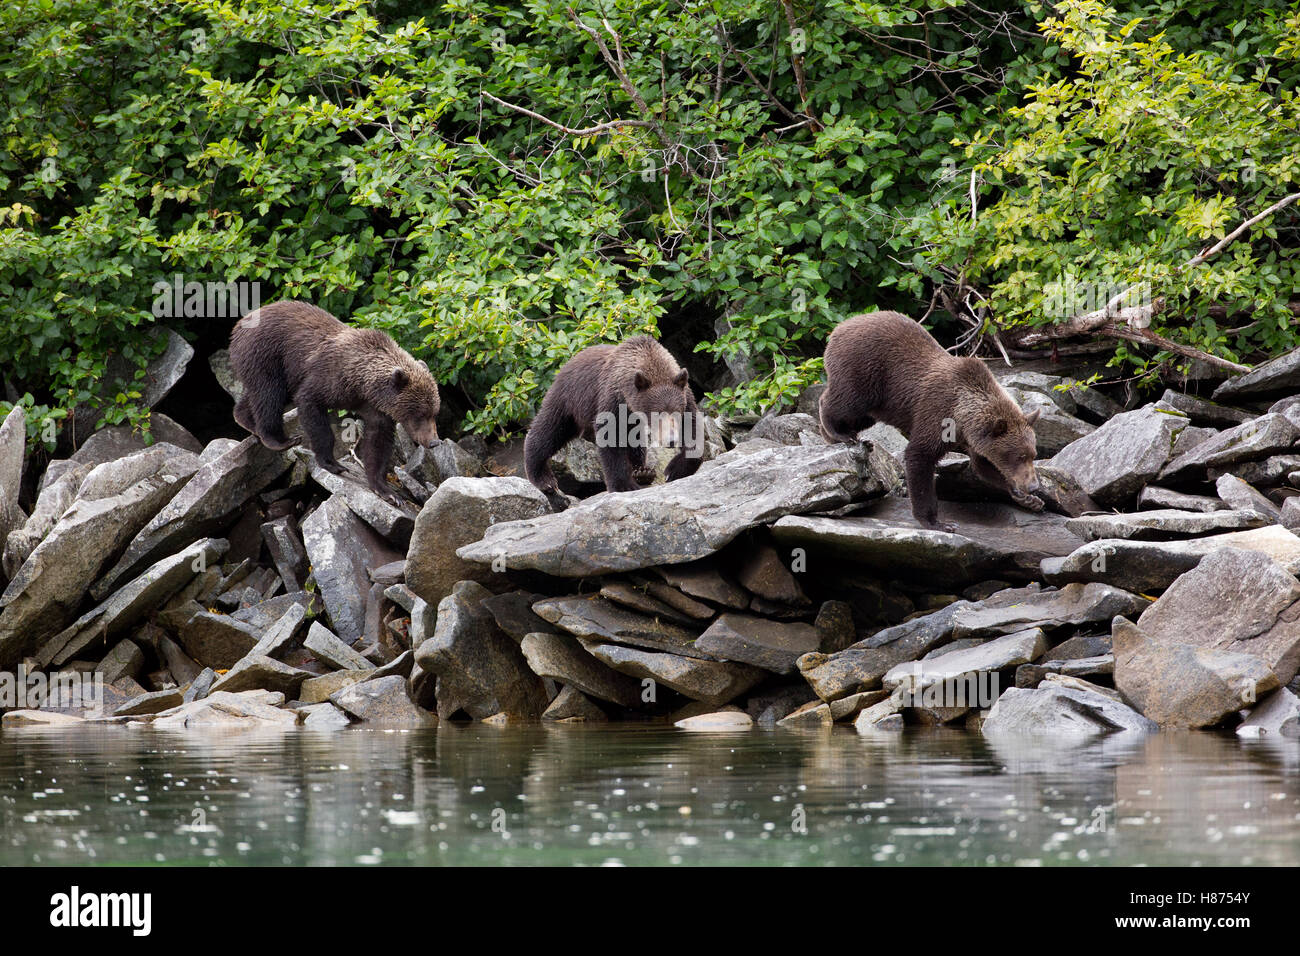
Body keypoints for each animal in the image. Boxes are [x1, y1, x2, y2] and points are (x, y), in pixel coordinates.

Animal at [229, 299, 440, 505]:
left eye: (434, 413)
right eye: (419, 414)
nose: (434, 442)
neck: (363, 385)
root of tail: (242, 322)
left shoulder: (376, 409)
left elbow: (378, 442)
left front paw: (386, 491)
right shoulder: (331, 379)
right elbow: (311, 406)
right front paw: (332, 463)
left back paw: (246, 420)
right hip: (267, 354)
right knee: (269, 394)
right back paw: (278, 439)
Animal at [524, 335, 703, 510]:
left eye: (676, 412)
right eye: (656, 413)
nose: (671, 440)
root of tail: (567, 363)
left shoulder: (686, 397)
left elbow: (693, 430)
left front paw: (674, 470)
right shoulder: (613, 399)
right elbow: (610, 436)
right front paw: (623, 485)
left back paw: (643, 471)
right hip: (569, 400)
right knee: (548, 430)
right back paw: (544, 479)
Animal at [818, 310, 1042, 530]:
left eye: (1033, 454)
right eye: (1020, 456)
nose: (1033, 486)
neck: (963, 417)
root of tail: (840, 327)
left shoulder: (976, 440)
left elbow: (984, 466)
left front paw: (1028, 499)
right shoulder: (938, 413)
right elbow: (920, 457)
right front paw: (937, 522)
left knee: (861, 417)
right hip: (866, 371)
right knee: (846, 401)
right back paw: (840, 432)